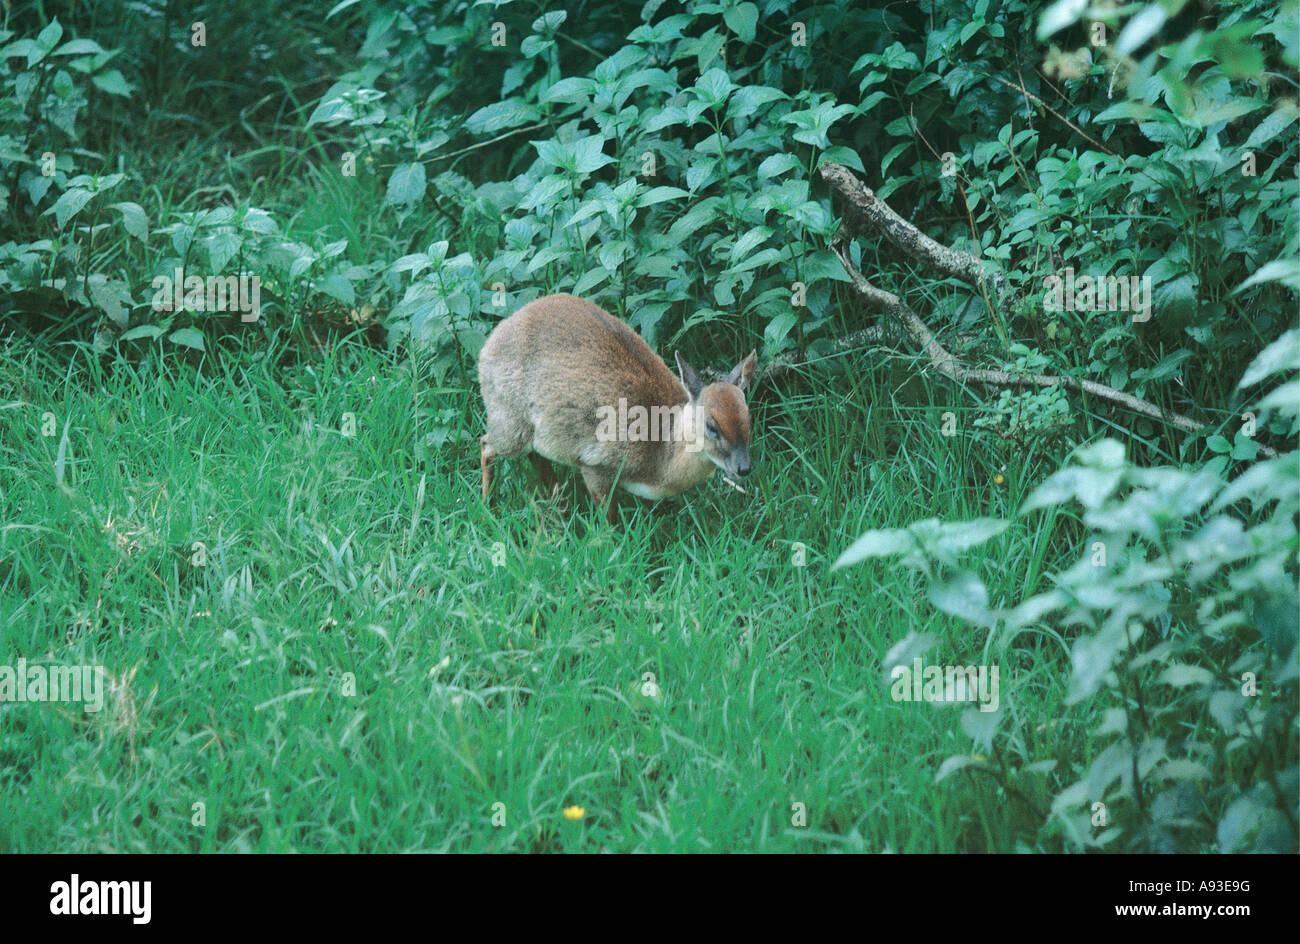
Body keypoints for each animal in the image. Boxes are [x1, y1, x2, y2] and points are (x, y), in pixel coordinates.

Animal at [478, 294, 757, 524]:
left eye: (748, 418)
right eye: (711, 426)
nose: (744, 468)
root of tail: (488, 346)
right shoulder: (595, 465)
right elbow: (608, 520)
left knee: (536, 459)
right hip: (510, 422)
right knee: (486, 444)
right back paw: (486, 509)